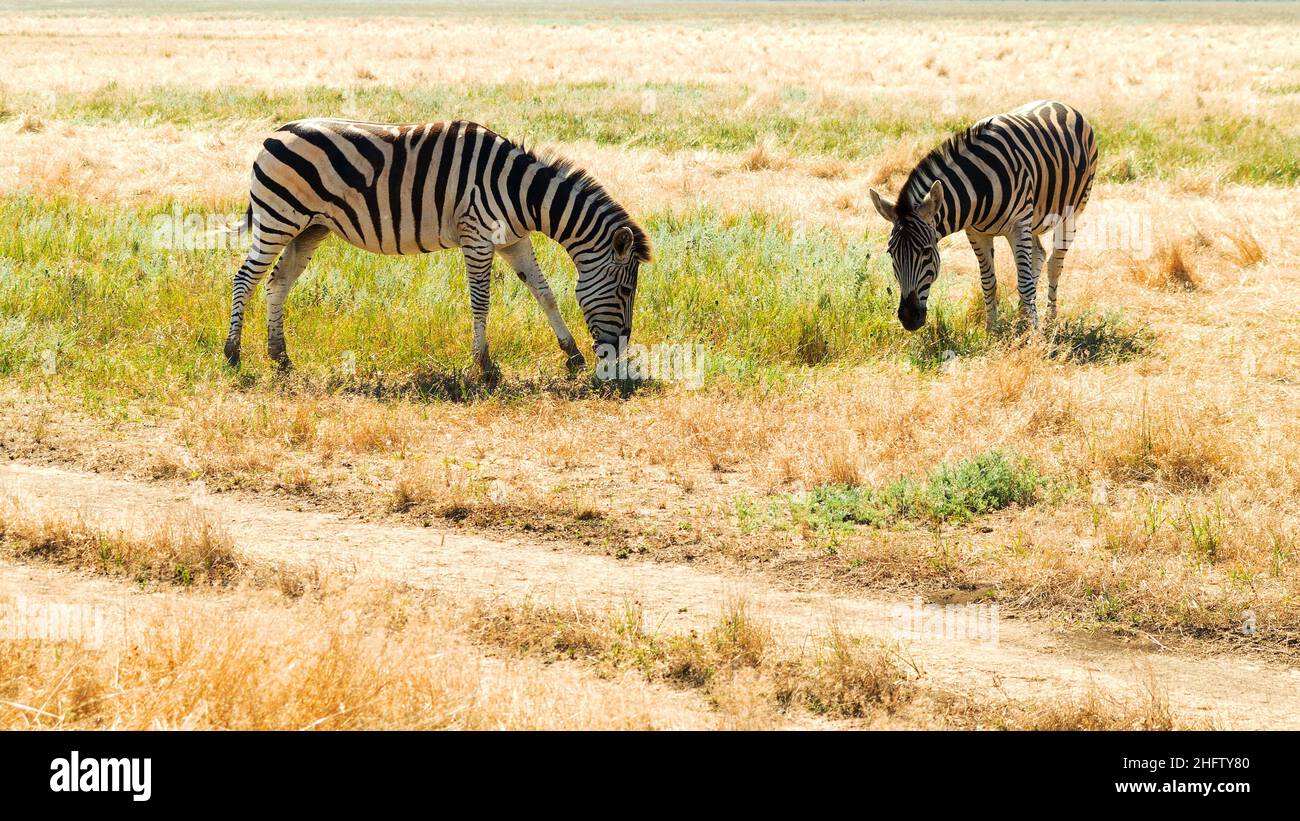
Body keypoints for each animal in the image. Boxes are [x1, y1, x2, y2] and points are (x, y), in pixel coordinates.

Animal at [224, 118, 652, 375]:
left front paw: (571, 353)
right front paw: (486, 367)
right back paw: (233, 354)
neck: (523, 193)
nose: (619, 355)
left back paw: (281, 357)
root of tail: (277, 132)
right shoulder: (477, 236)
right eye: (625, 290)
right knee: (245, 279)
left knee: (277, 283)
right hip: (278, 219)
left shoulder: (513, 240)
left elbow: (544, 293)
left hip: (309, 229)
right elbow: (481, 300)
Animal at [868, 100, 1098, 332]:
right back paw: (1022, 315)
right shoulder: (976, 233)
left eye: (926, 251)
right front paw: (992, 330)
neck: (979, 185)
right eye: (891, 253)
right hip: (1032, 222)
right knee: (1039, 255)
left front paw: (1034, 333)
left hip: (1069, 214)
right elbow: (988, 282)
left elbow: (1024, 284)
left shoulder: (1019, 225)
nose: (909, 318)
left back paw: (1049, 320)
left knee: (1054, 264)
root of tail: (1059, 103)